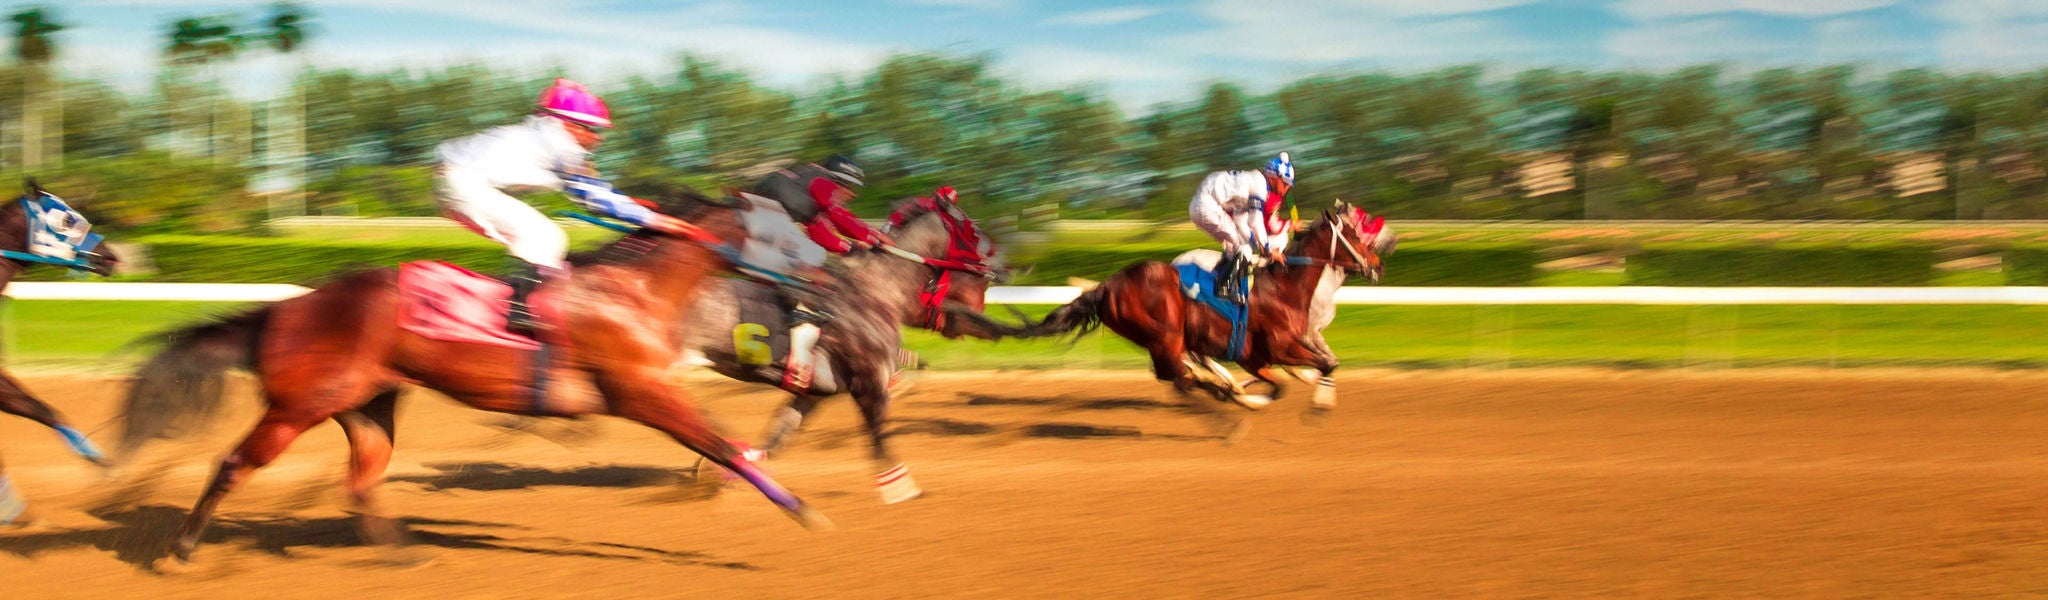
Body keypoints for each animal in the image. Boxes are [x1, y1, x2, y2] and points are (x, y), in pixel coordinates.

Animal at [110, 186, 831, 565]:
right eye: (789, 235)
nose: (825, 274)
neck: (636, 291)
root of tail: (285, 309)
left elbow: (723, 444)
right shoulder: (644, 394)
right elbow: (721, 445)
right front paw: (808, 514)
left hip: (368, 403)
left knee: (361, 481)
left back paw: (403, 552)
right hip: (299, 406)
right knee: (234, 464)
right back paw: (182, 550)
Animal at [679, 194, 1007, 499]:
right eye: (973, 229)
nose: (1004, 266)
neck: (874, 294)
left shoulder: (813, 393)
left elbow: (779, 434)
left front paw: (726, 470)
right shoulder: (870, 384)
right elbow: (878, 435)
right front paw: (901, 490)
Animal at [958, 204, 1392, 425]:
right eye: (1357, 234)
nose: (1379, 264)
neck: (1284, 289)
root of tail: (1107, 285)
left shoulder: (1277, 349)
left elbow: (1318, 366)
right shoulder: (1270, 350)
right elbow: (1311, 370)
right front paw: (1310, 404)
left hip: (1165, 338)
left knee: (1178, 375)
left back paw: (1222, 391)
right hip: (1163, 333)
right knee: (1177, 376)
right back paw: (1224, 402)